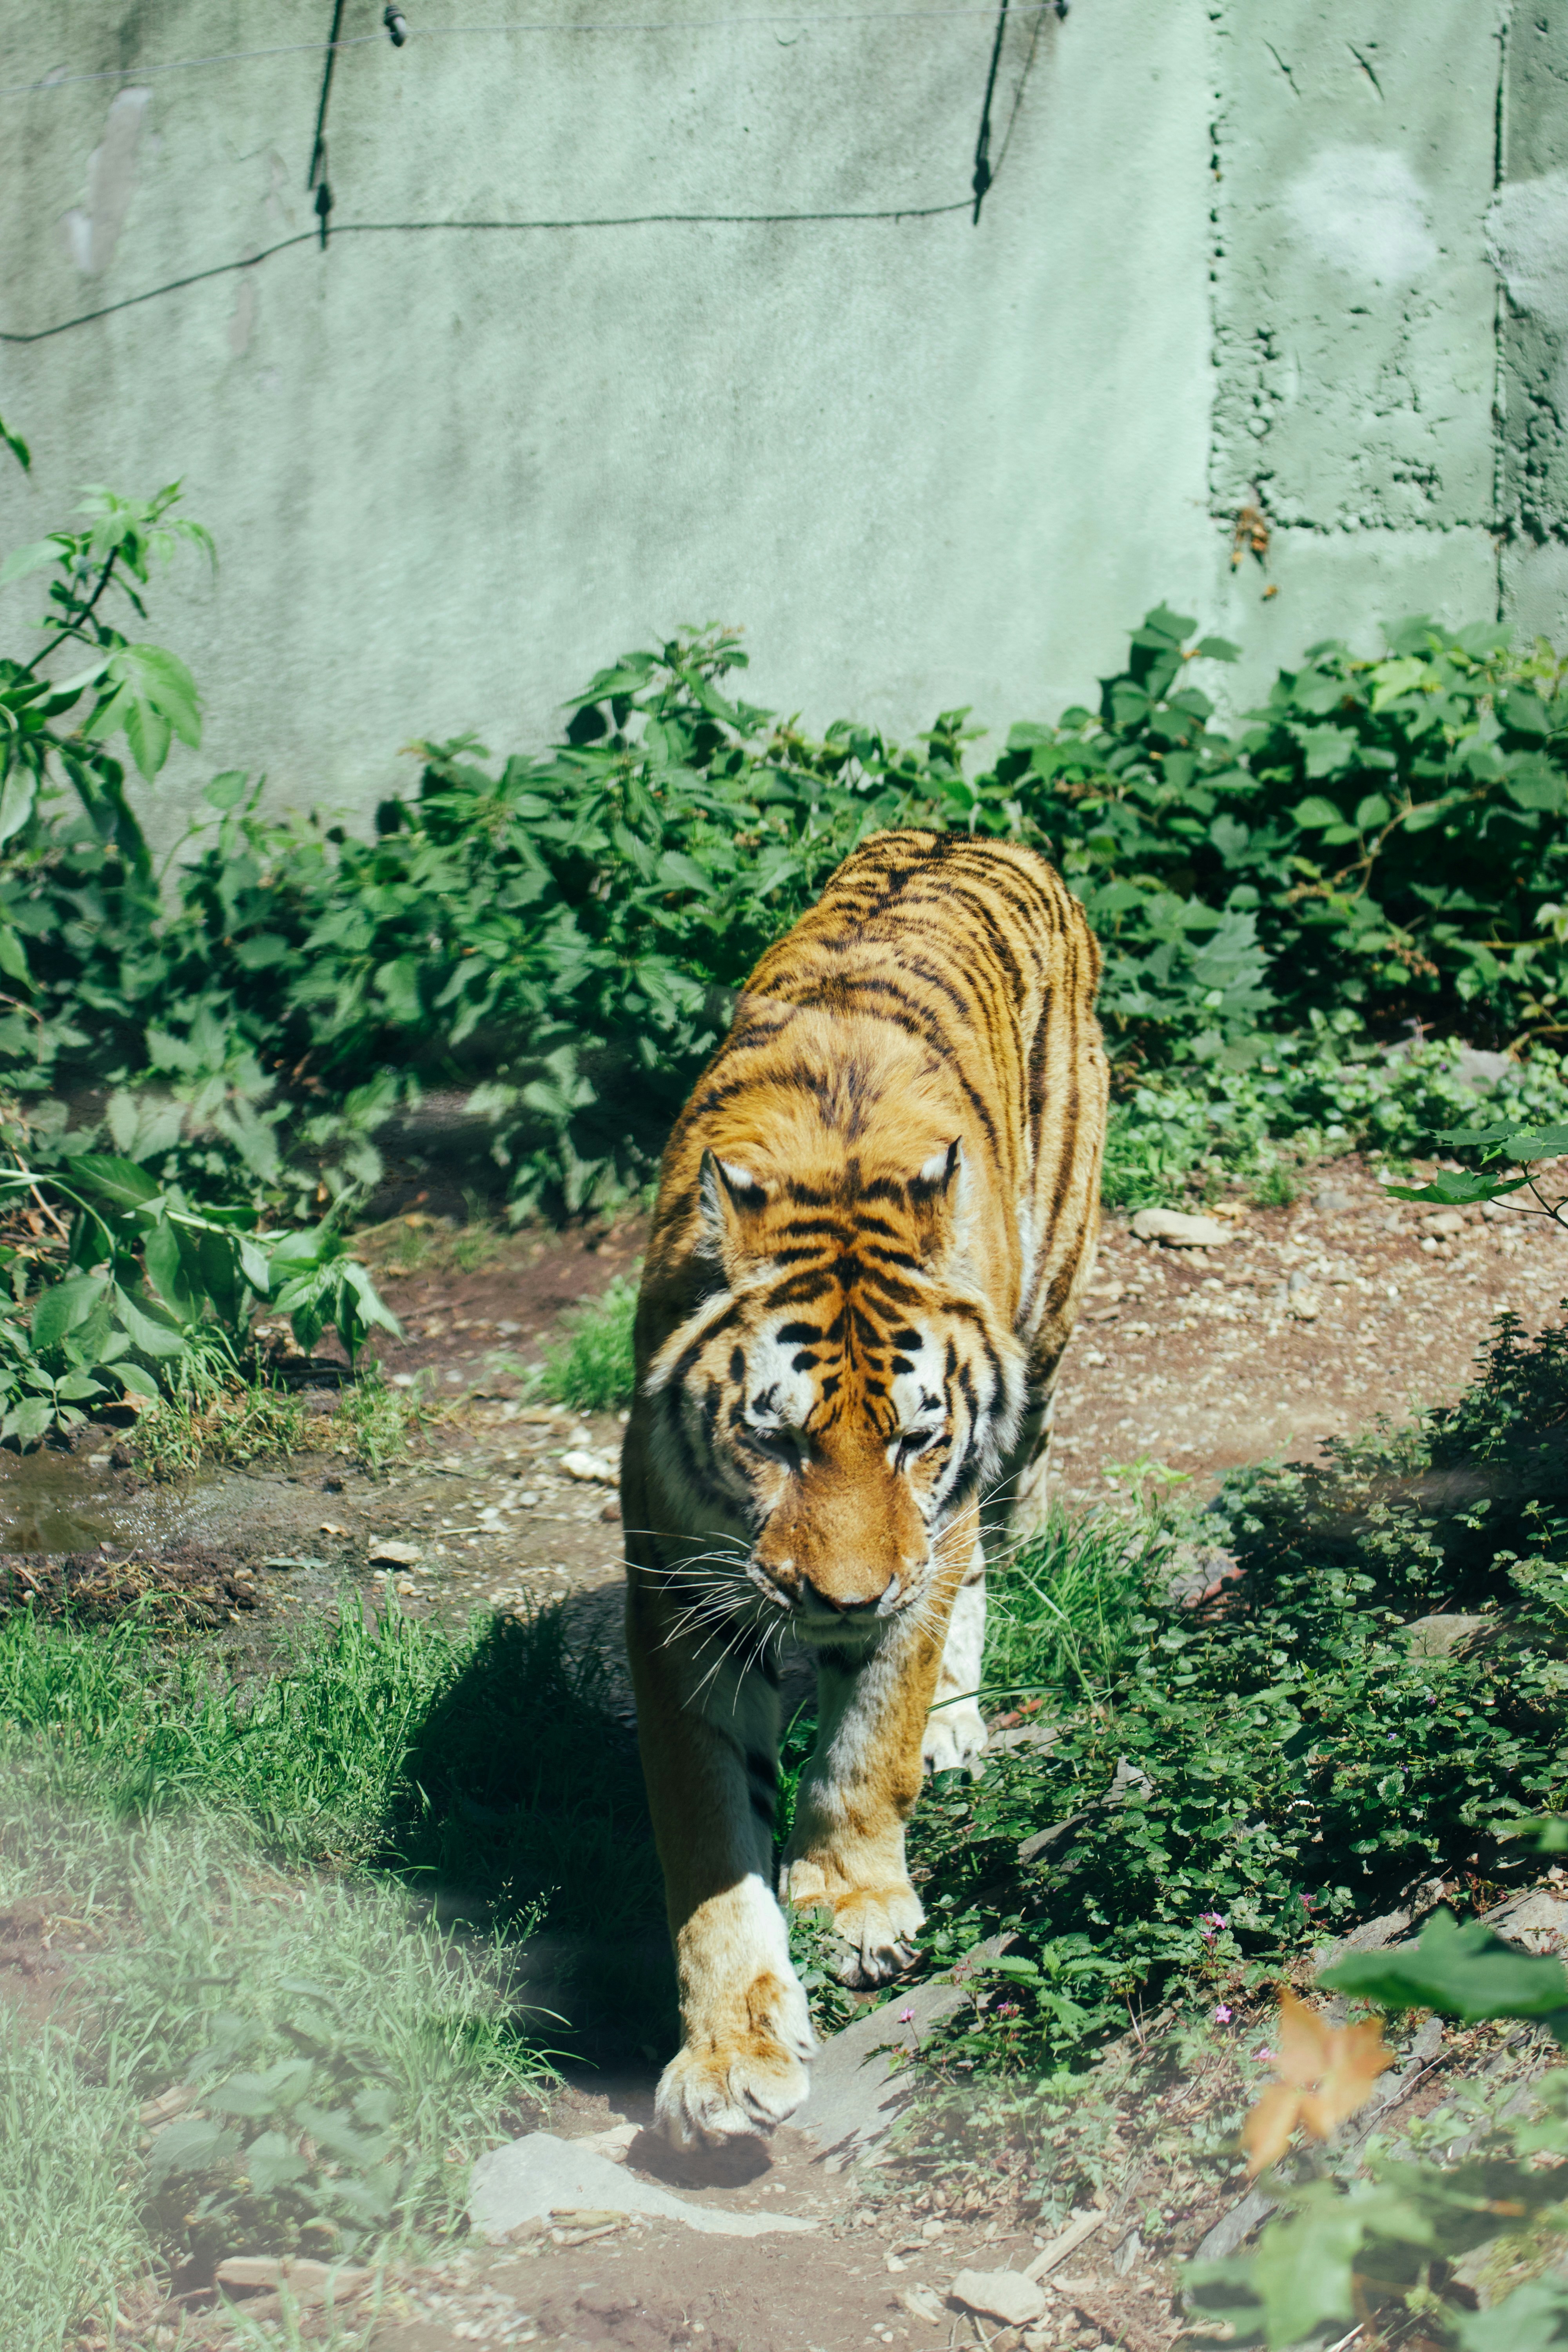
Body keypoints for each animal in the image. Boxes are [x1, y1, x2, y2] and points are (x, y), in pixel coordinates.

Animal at [620, 828, 1107, 2146]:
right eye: (778, 1445)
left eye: (912, 1441)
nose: (840, 1600)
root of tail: (968, 829)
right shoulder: (679, 1594)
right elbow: (706, 1843)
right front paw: (729, 2051)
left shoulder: (916, 1555)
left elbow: (865, 1742)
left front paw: (850, 1904)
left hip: (1046, 1324)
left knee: (985, 1551)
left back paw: (953, 1727)